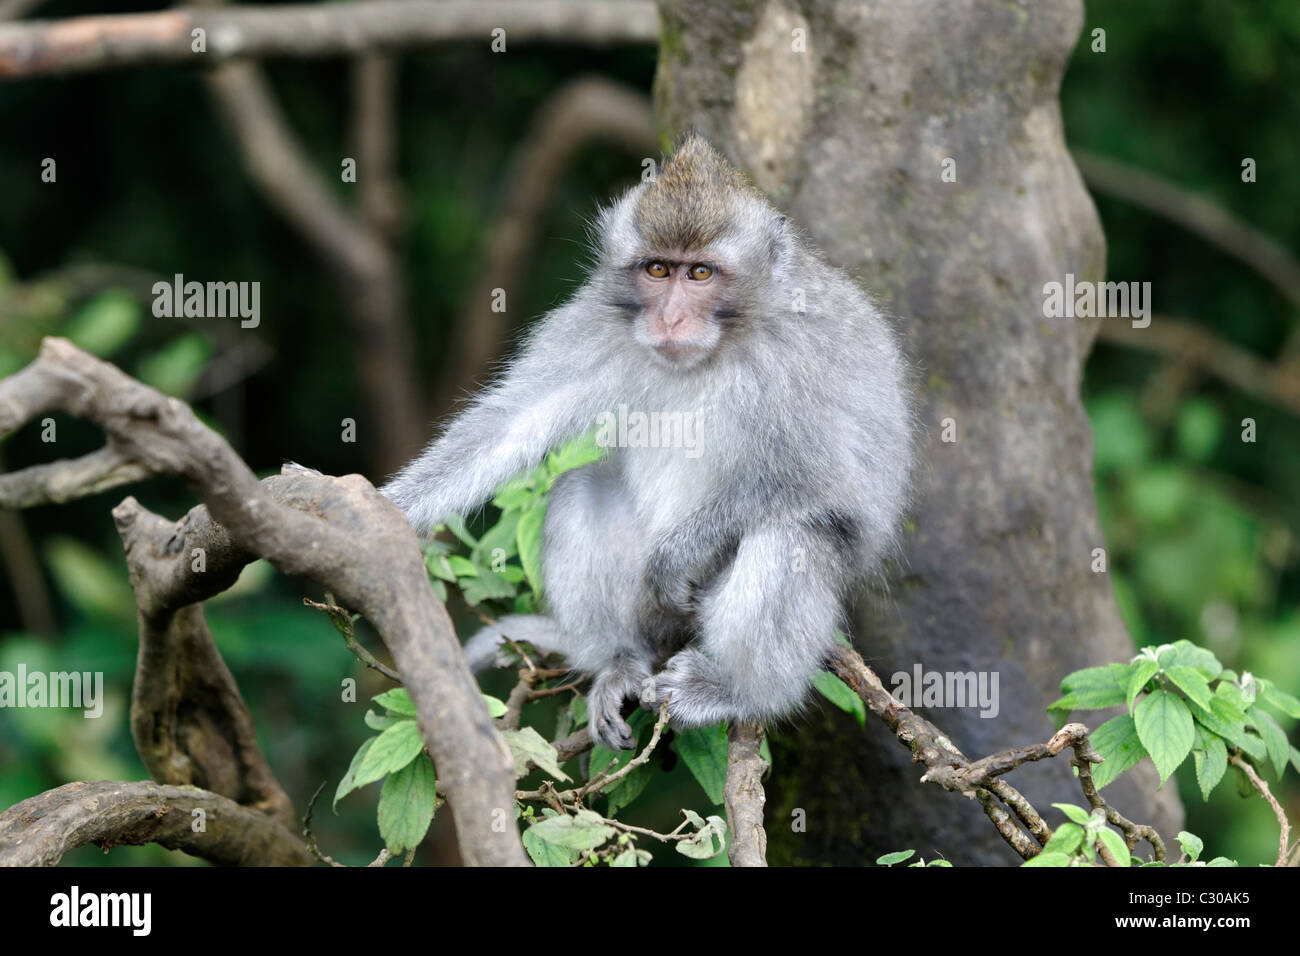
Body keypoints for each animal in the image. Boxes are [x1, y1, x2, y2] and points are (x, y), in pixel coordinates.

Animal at [382, 133, 915, 751]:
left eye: (701, 273)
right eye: (659, 270)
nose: (670, 318)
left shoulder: (800, 354)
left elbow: (826, 476)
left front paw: (677, 555)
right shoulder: (594, 322)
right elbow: (513, 422)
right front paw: (382, 506)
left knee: (791, 533)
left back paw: (741, 692)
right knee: (579, 487)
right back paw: (620, 659)